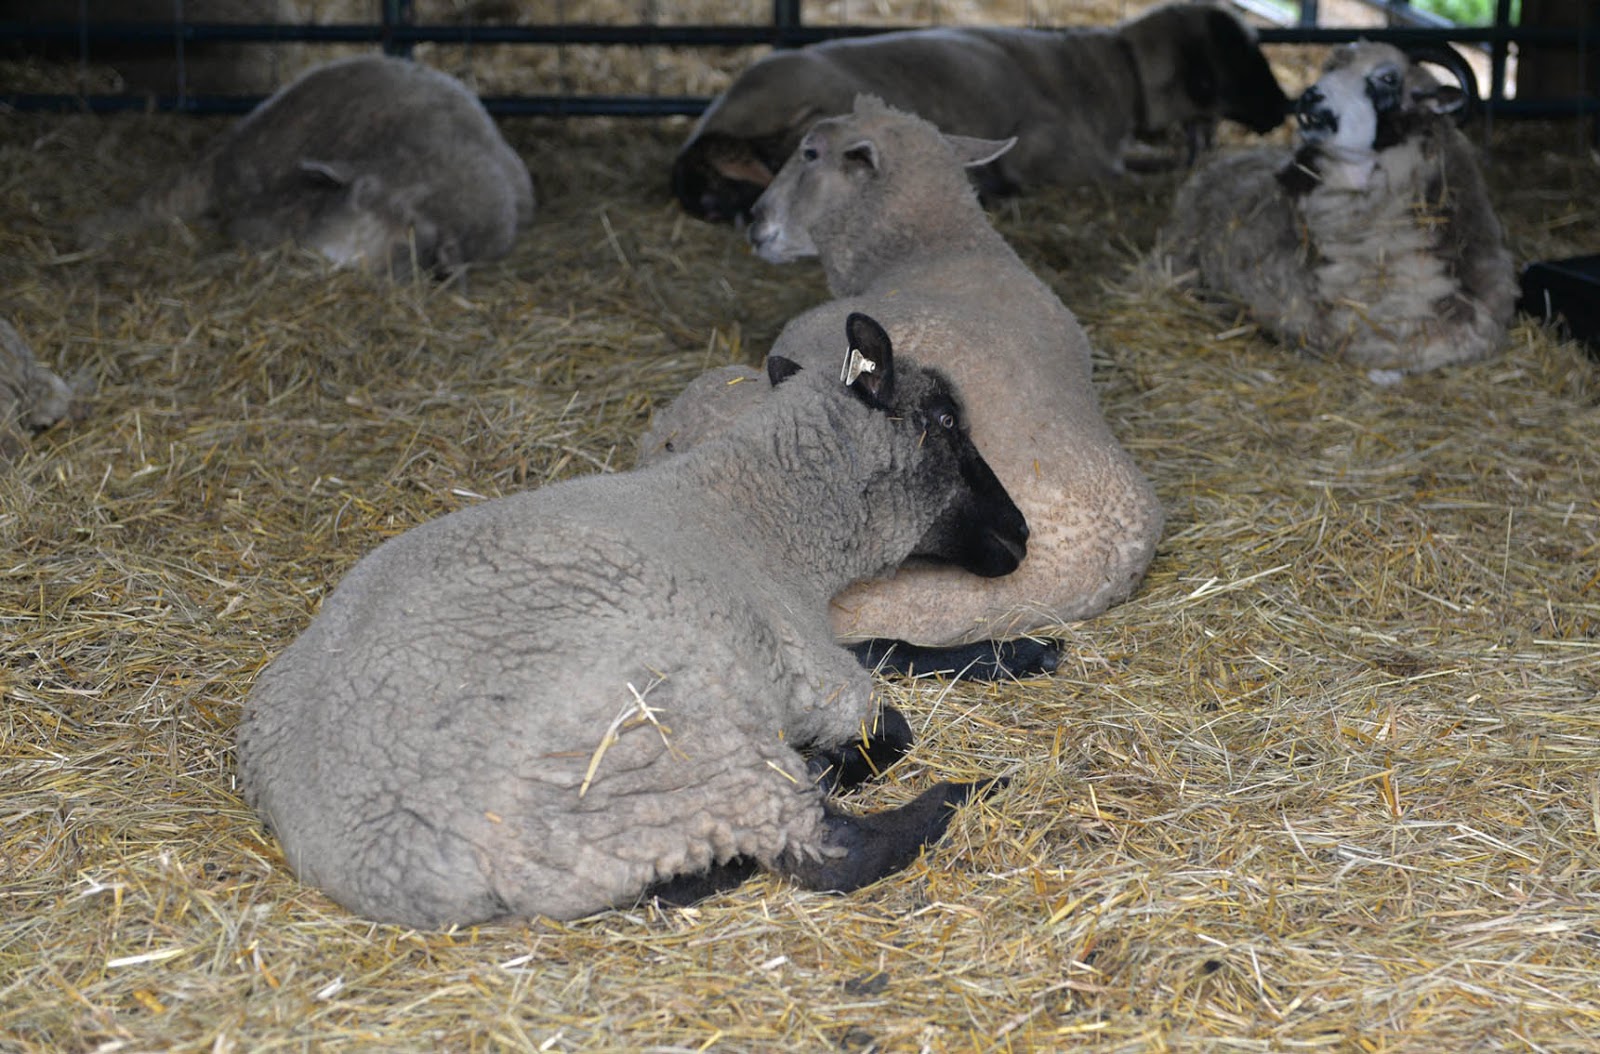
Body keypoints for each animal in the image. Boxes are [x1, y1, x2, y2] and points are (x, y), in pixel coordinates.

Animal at [235, 311, 1026, 928]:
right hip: (676, 746)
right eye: (946, 421)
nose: (1022, 534)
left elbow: (889, 644)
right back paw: (968, 792)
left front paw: (1022, 652)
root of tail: (380, 867)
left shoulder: (806, 648)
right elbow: (890, 722)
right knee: (830, 853)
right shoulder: (812, 672)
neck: (759, 520)